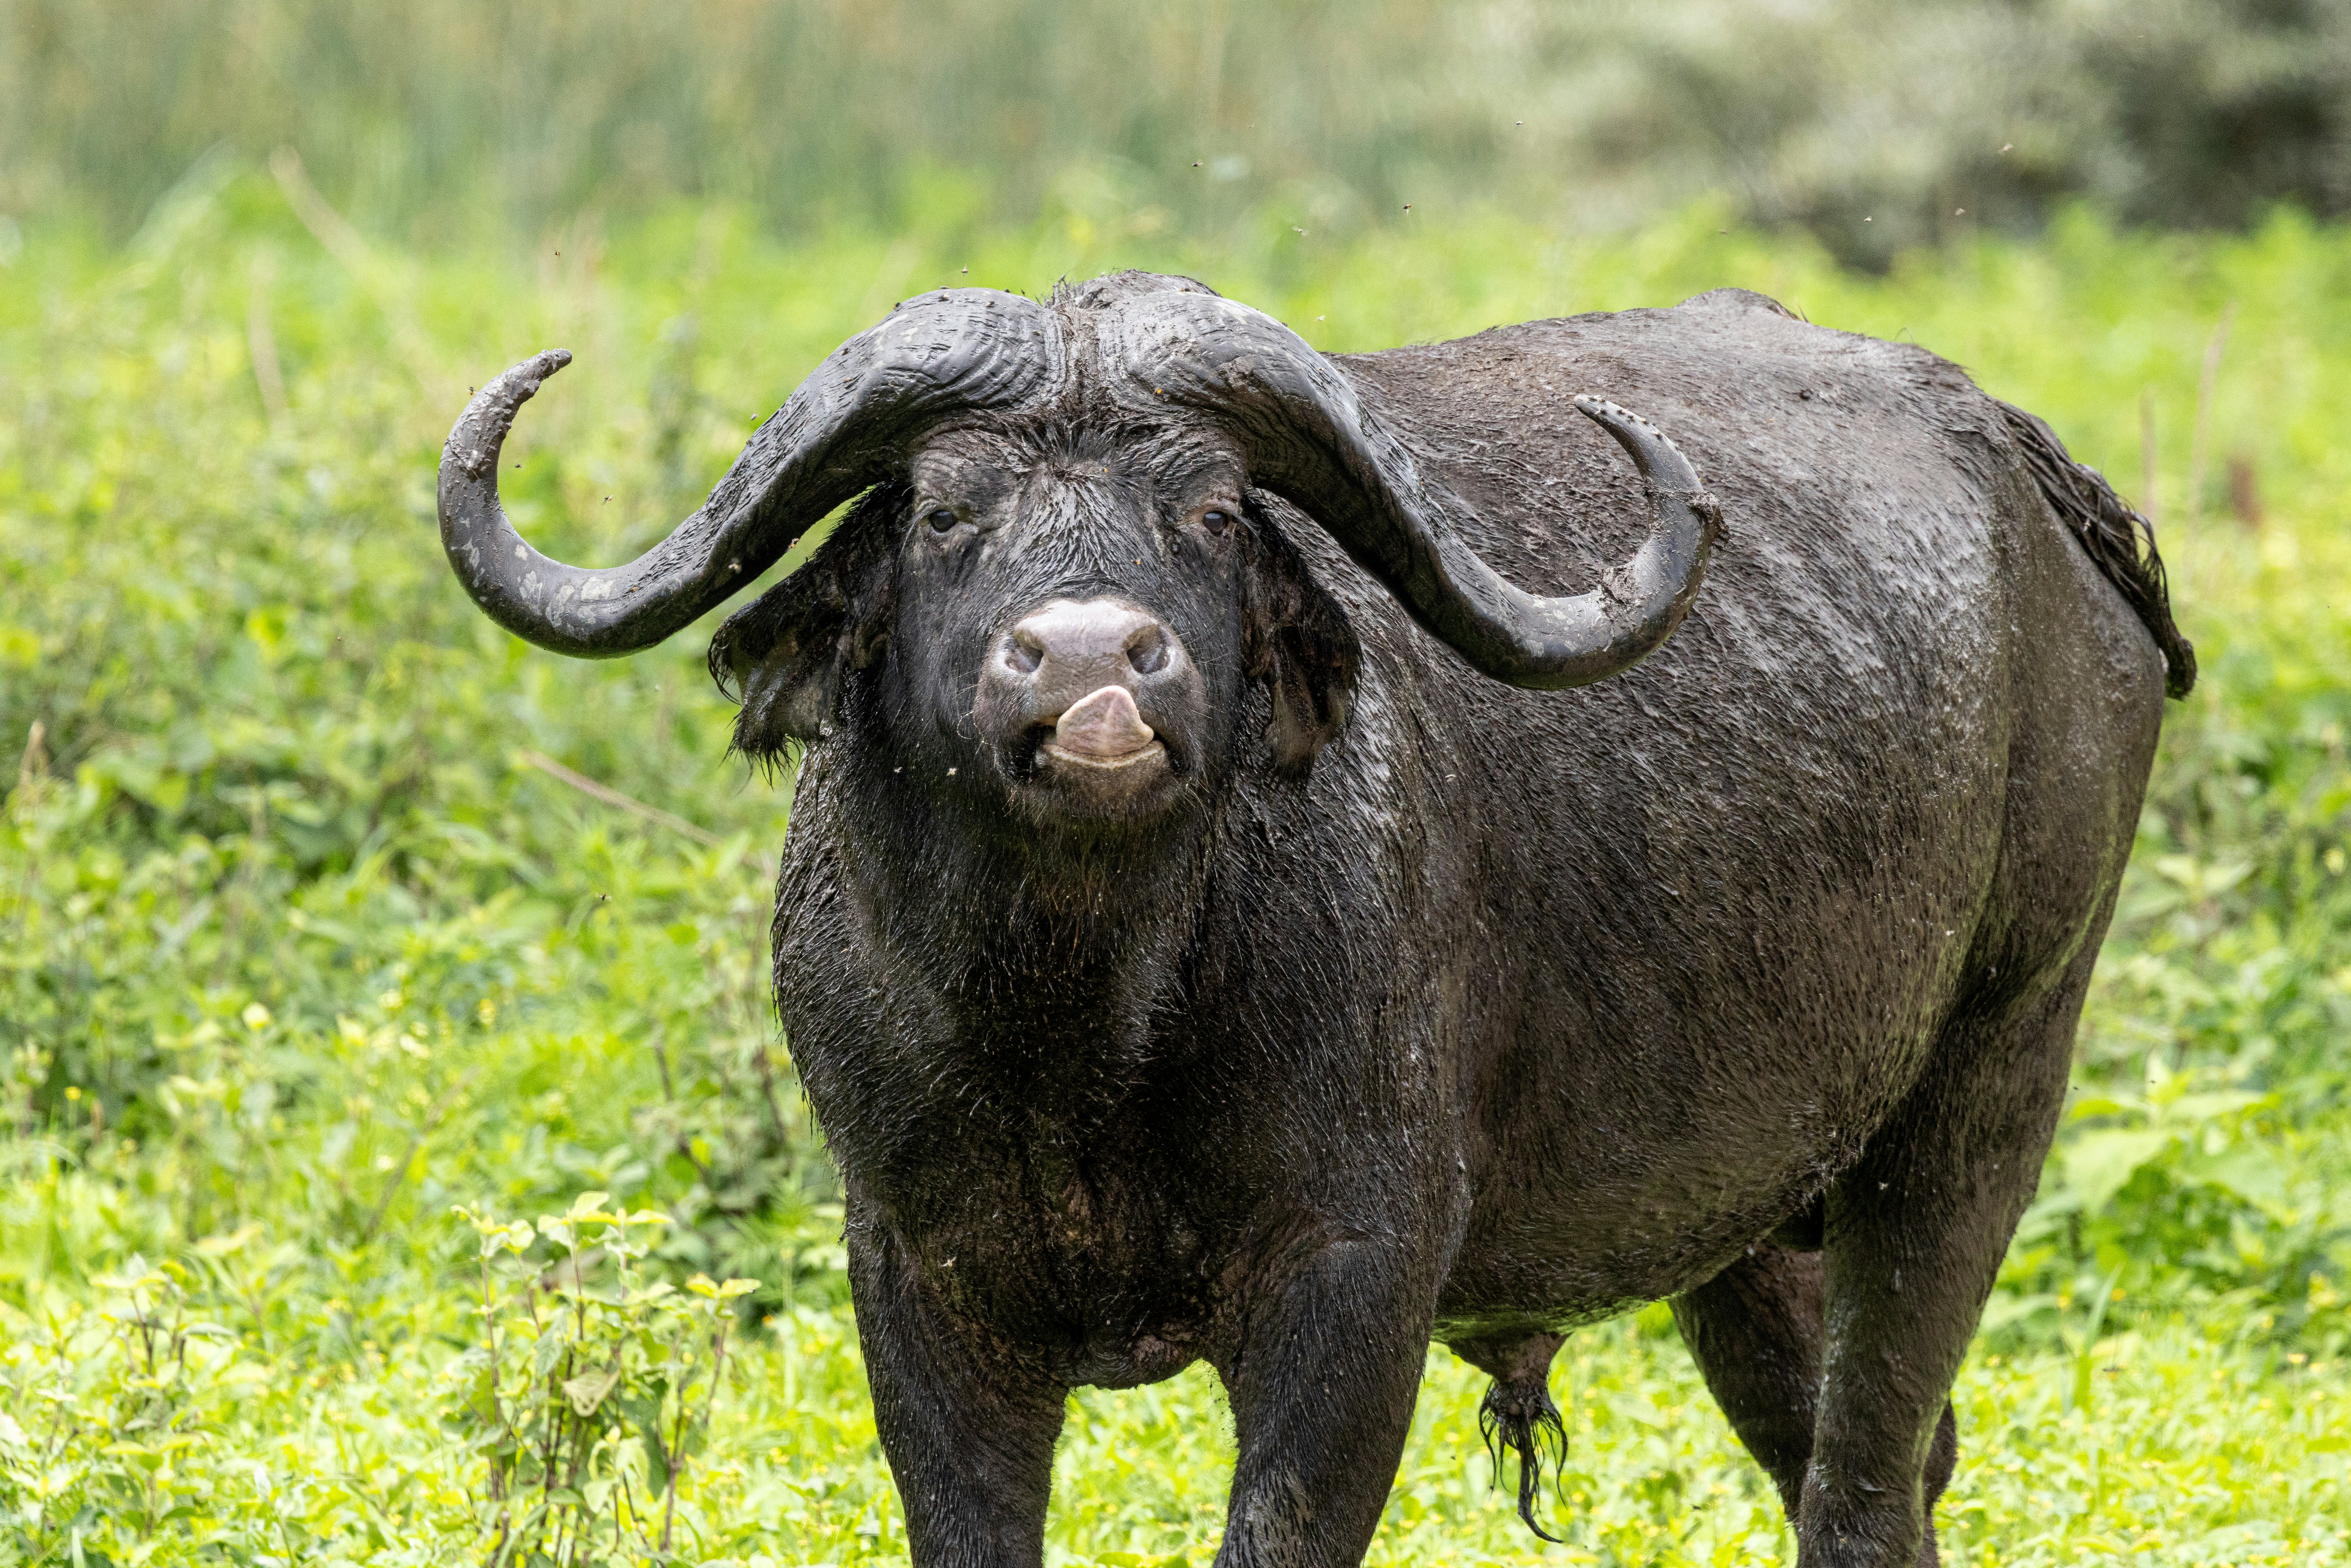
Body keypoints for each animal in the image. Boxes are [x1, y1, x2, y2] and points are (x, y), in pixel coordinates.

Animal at [437, 272, 2193, 1568]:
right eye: (940, 511)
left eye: (1211, 510)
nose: (1094, 663)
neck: (1074, 1036)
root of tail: (2031, 479)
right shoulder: (913, 1276)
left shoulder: (1355, 1284)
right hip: (1751, 1226)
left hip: (1988, 1079)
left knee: (1865, 1477)